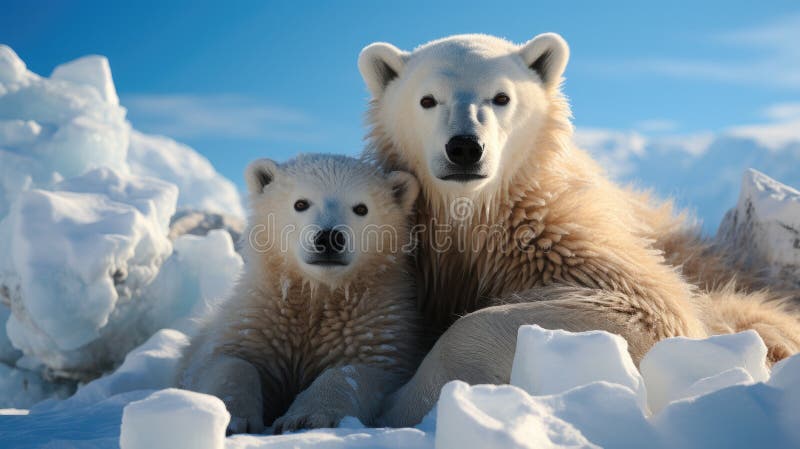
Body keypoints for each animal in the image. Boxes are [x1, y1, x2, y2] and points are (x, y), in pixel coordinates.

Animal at [178, 154, 423, 434]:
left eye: (361, 208)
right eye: (301, 203)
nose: (329, 238)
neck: (318, 293)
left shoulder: (375, 327)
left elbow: (359, 370)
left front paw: (305, 418)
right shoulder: (259, 317)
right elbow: (229, 360)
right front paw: (232, 418)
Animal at [357, 32, 800, 426]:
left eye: (501, 97)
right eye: (427, 99)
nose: (465, 147)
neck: (475, 215)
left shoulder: (561, 237)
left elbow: (649, 308)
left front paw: (403, 405)